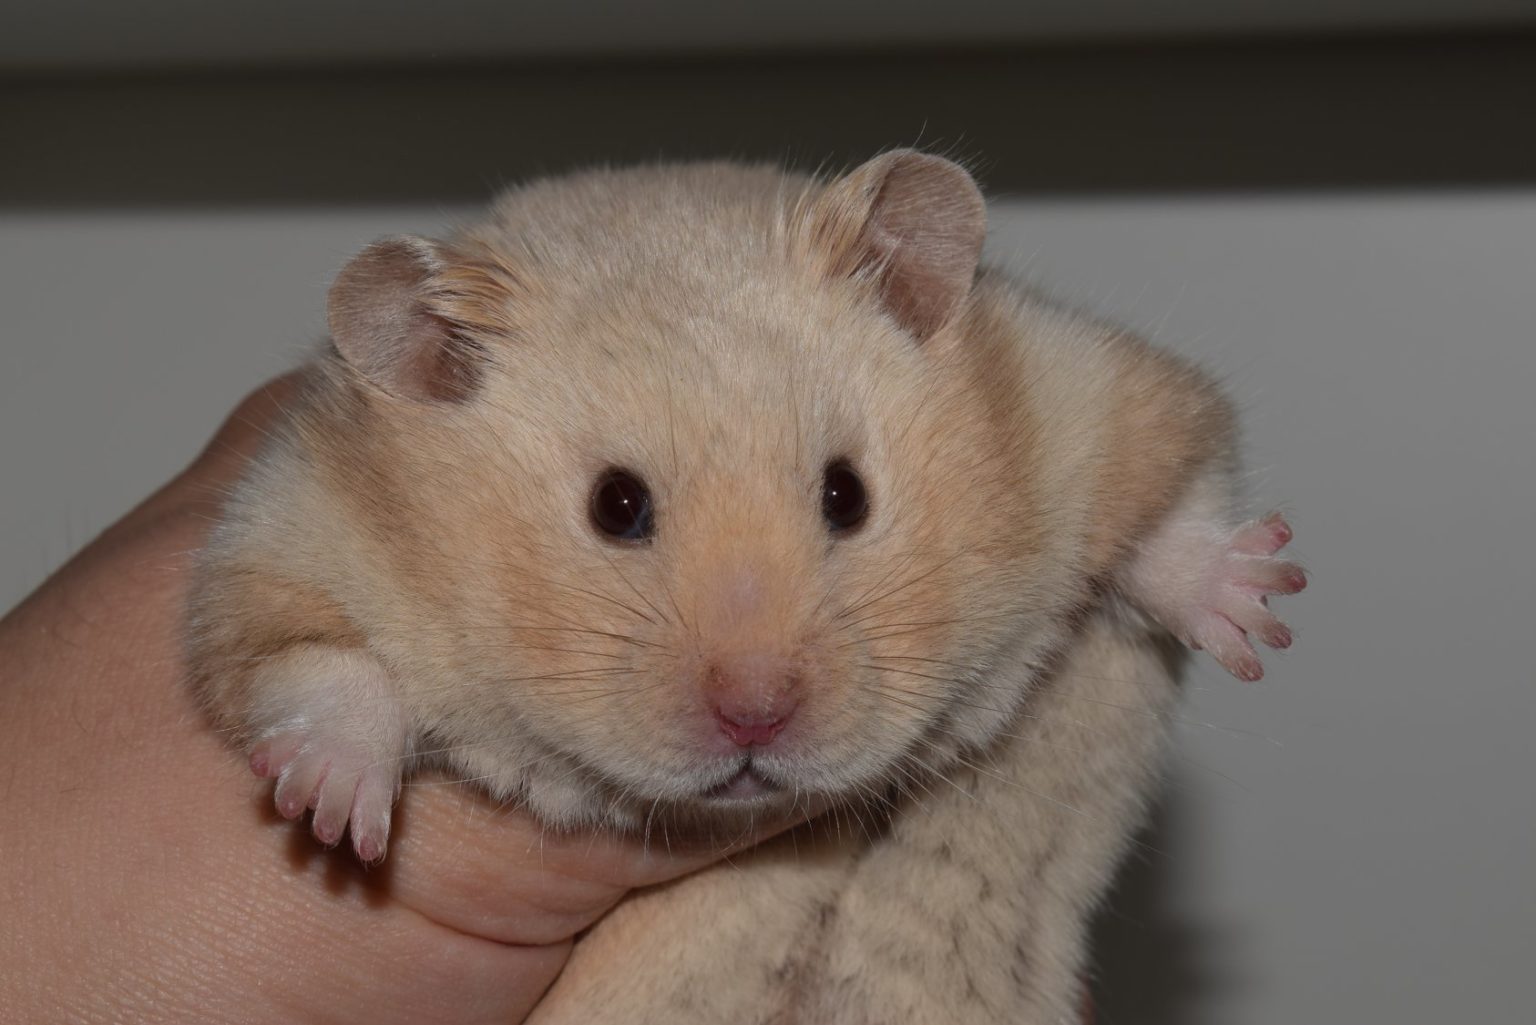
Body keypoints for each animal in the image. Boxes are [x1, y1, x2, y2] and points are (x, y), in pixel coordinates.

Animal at [187, 150, 1303, 1023]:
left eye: (848, 493)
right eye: (616, 505)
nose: (757, 714)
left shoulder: (1086, 390)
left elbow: (1171, 498)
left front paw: (1261, 602)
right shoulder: (281, 537)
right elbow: (315, 661)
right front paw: (335, 818)